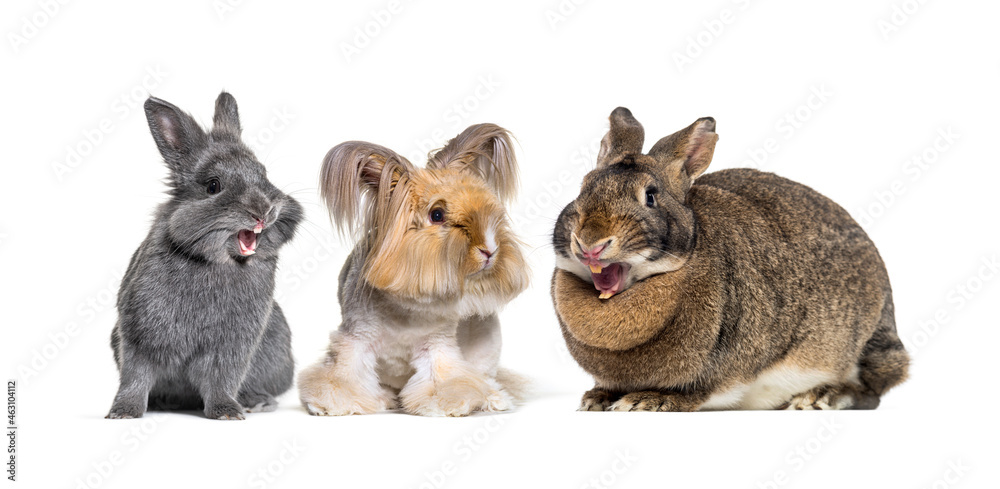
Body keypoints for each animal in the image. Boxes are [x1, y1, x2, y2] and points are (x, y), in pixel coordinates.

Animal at [105, 92, 303, 420]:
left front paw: (227, 411)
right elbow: (136, 377)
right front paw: (123, 412)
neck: (217, 262)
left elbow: (222, 379)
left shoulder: (233, 345)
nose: (263, 212)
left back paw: (256, 401)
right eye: (213, 185)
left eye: (263, 174)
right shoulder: (139, 335)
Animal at [298, 124, 530, 417]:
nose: (490, 250)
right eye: (437, 215)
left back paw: (494, 399)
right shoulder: (356, 339)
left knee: (487, 377)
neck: (407, 308)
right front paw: (328, 405)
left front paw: (451, 404)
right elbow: (343, 374)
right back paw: (385, 399)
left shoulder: (438, 345)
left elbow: (445, 377)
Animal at [551, 107, 909, 411]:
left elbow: (698, 390)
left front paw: (644, 401)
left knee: (872, 389)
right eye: (583, 188)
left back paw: (818, 397)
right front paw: (596, 398)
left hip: (866, 345)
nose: (590, 243)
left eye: (650, 196)